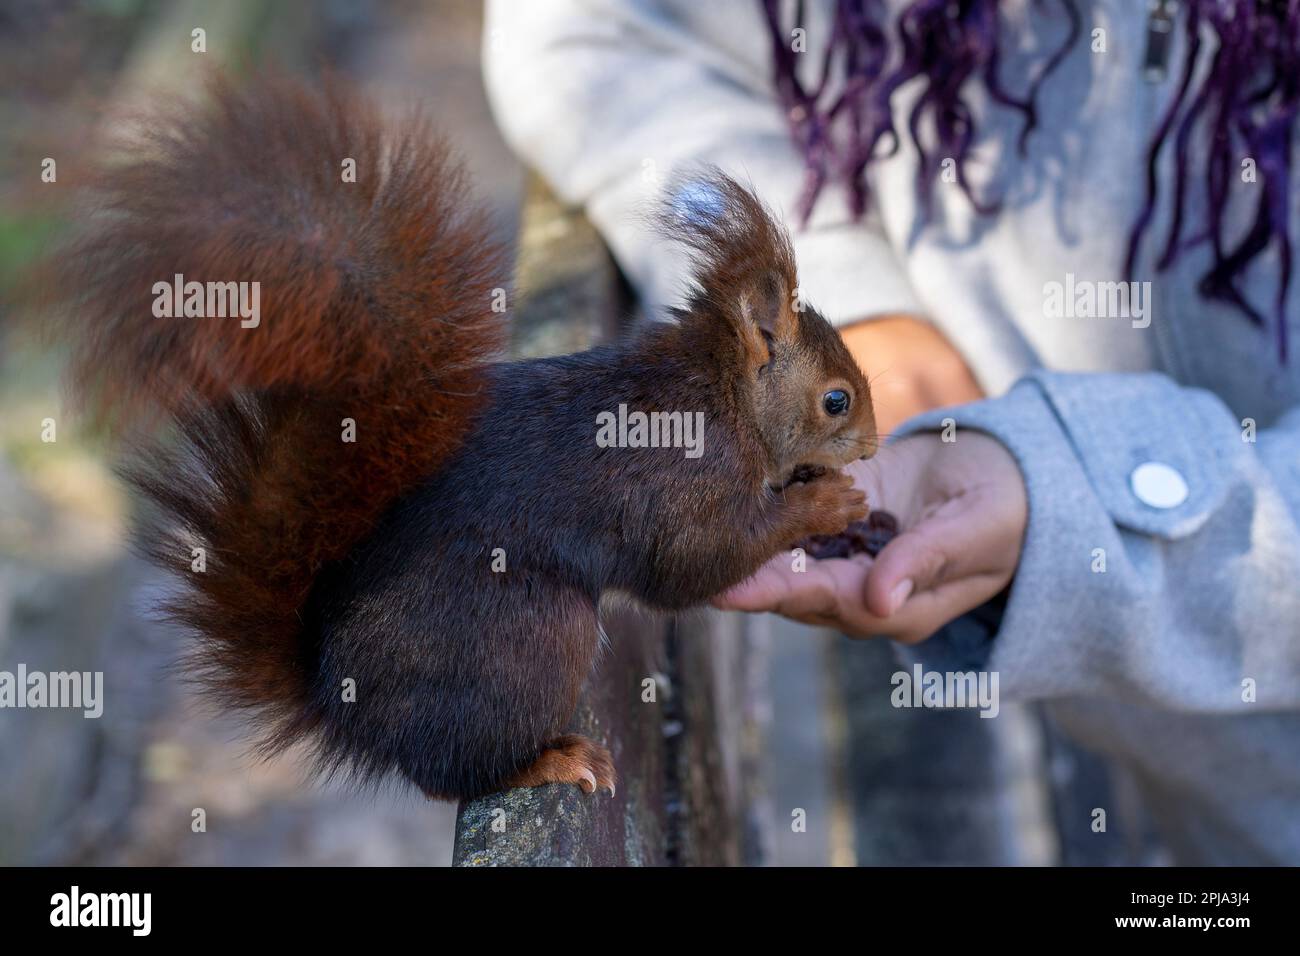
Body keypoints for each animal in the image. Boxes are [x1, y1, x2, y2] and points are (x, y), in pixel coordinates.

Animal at [43, 74, 877, 800]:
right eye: (836, 400)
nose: (871, 447)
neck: (722, 393)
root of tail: (342, 704)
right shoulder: (682, 489)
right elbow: (697, 566)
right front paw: (827, 503)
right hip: (530, 637)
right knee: (454, 776)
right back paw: (548, 763)